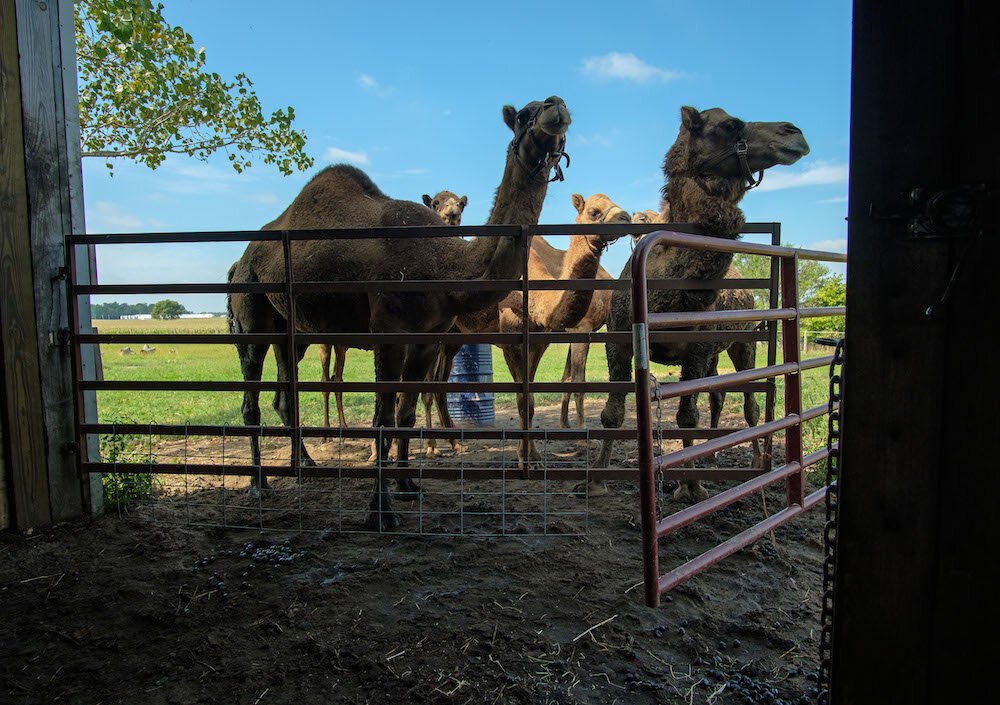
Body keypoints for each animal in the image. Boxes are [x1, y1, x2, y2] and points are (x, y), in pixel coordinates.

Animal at [316, 189, 468, 437]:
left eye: (461, 205)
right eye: (435, 203)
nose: (452, 212)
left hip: (342, 342)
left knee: (337, 376)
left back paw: (343, 426)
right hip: (324, 337)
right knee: (325, 377)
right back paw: (327, 432)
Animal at [590, 106, 809, 501]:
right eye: (729, 124)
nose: (793, 132)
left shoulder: (698, 345)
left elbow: (685, 417)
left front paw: (691, 486)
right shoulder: (618, 340)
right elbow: (613, 412)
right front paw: (597, 480)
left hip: (743, 344)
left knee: (749, 404)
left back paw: (753, 461)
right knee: (717, 396)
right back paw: (711, 454)